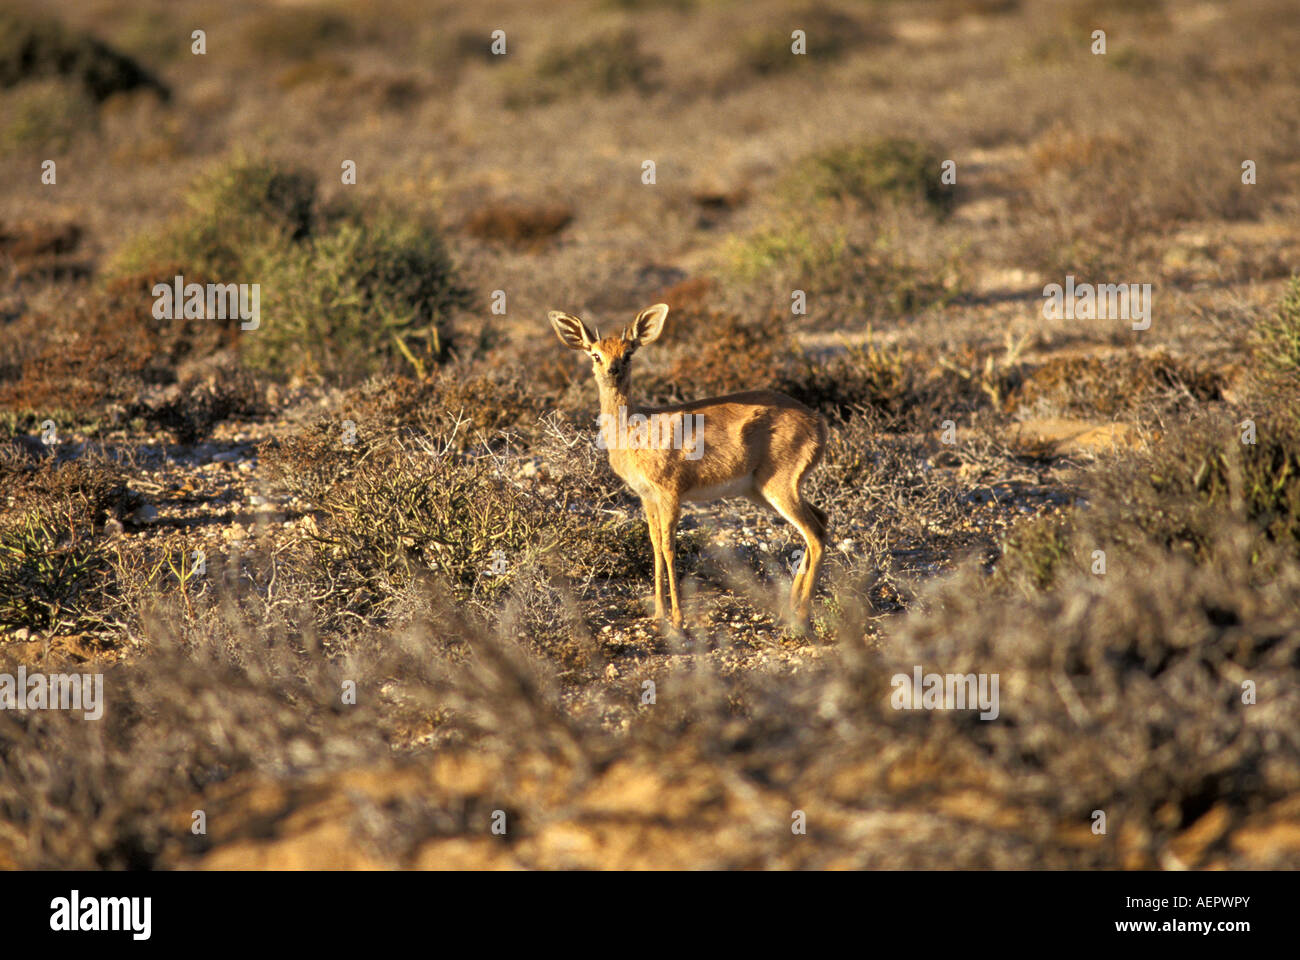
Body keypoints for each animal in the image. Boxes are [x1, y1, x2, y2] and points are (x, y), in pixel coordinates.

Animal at [548, 303, 828, 630]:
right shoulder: (647, 496)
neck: (633, 429)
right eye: (595, 353)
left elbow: (670, 547)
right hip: (761, 491)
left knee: (815, 534)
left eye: (628, 352)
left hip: (780, 486)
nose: (612, 370)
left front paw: (678, 618)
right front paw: (659, 612)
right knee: (819, 521)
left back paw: (801, 617)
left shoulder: (671, 494)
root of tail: (818, 422)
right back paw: (790, 609)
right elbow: (655, 544)